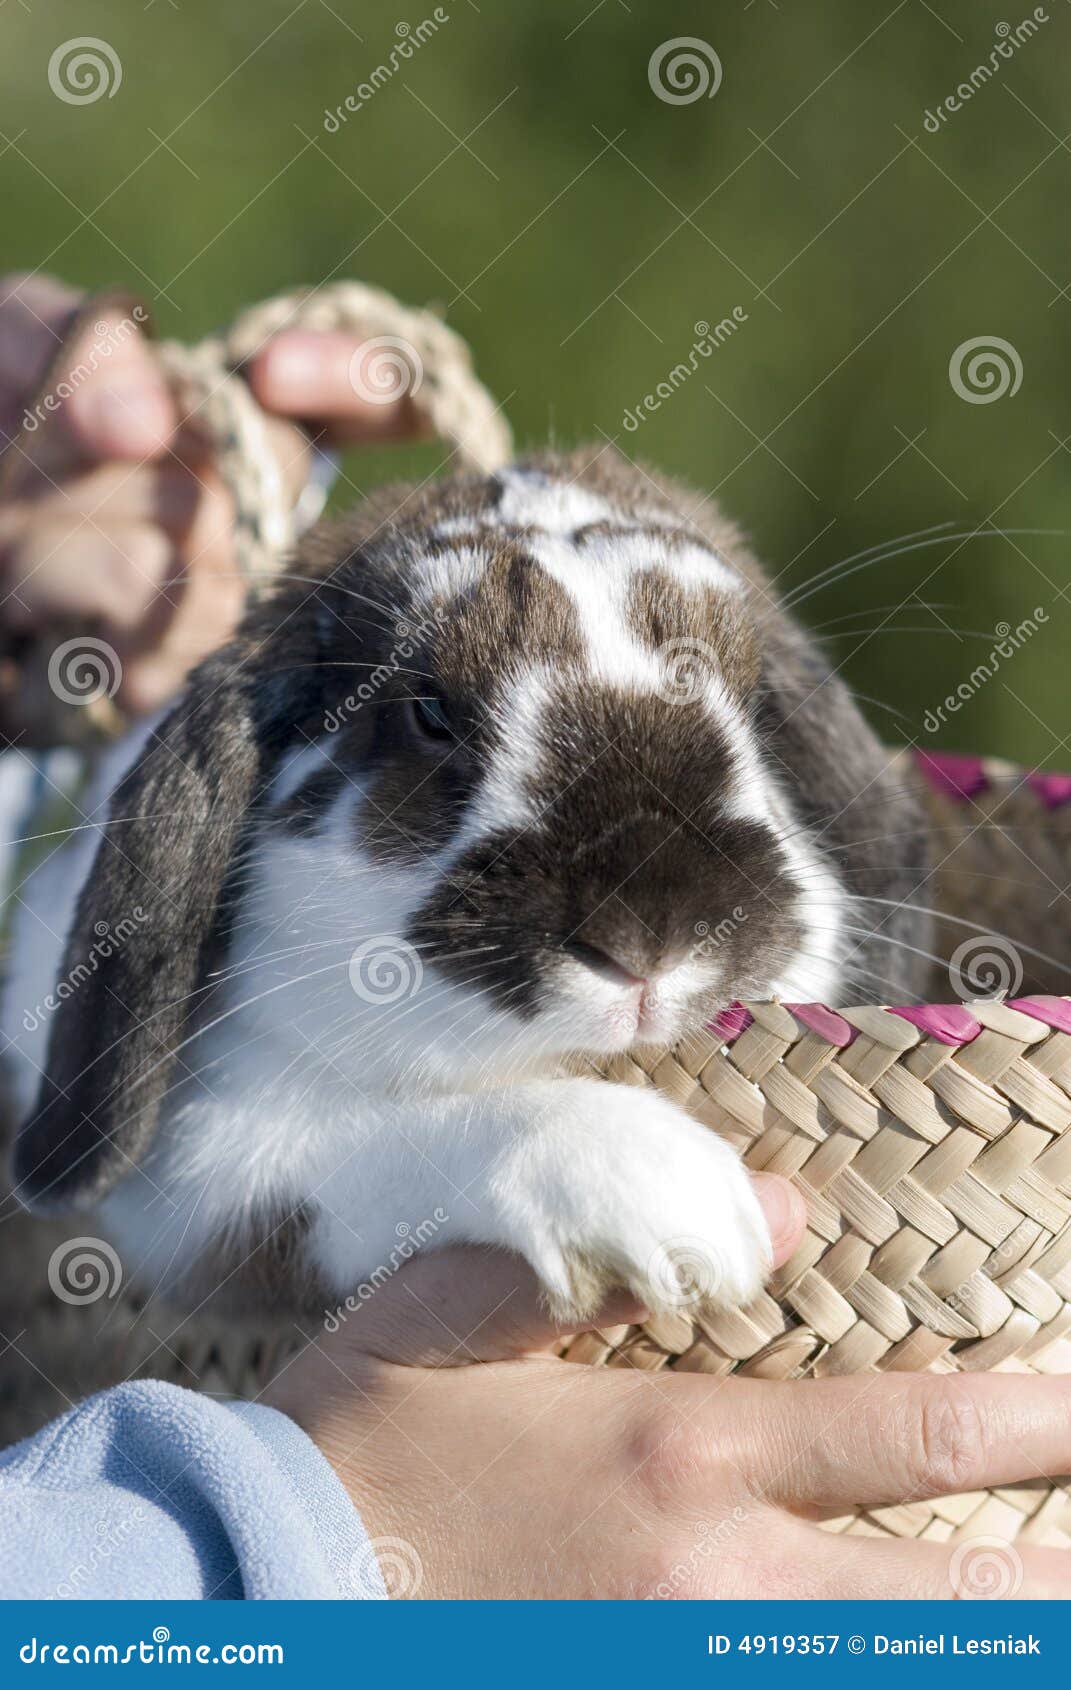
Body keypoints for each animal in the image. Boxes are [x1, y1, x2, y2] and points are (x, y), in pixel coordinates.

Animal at [4, 448, 932, 1324]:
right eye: (429, 713)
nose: (649, 938)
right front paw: (672, 1201)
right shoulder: (206, 1172)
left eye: (753, 703)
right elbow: (372, 1144)